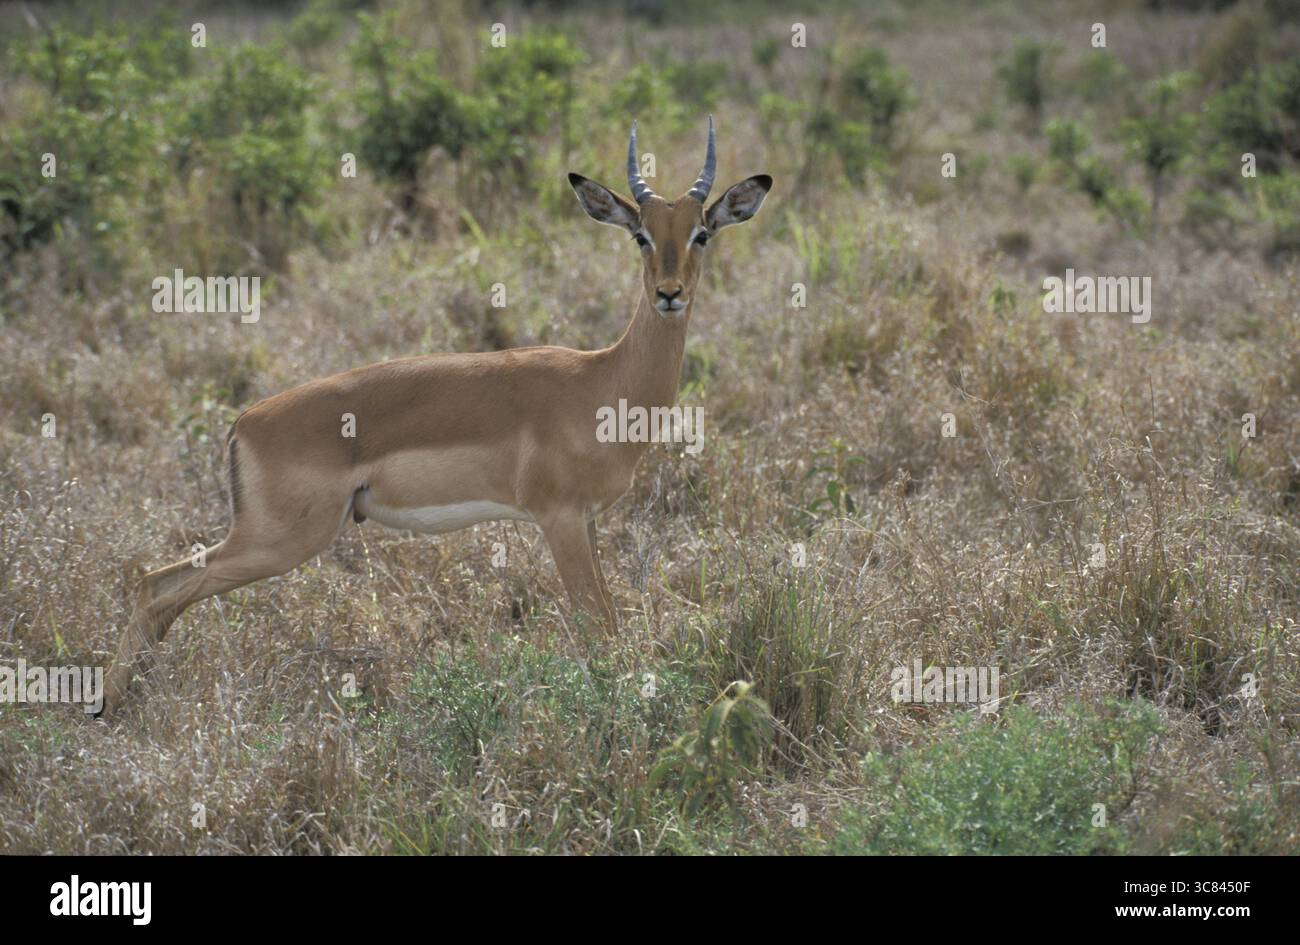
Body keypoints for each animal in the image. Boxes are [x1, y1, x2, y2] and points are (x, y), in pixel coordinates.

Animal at [101, 119, 771, 716]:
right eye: (641, 236)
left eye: (701, 233)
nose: (669, 293)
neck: (604, 381)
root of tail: (243, 423)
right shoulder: (557, 518)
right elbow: (599, 626)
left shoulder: (587, 522)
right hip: (279, 538)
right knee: (156, 585)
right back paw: (105, 706)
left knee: (162, 592)